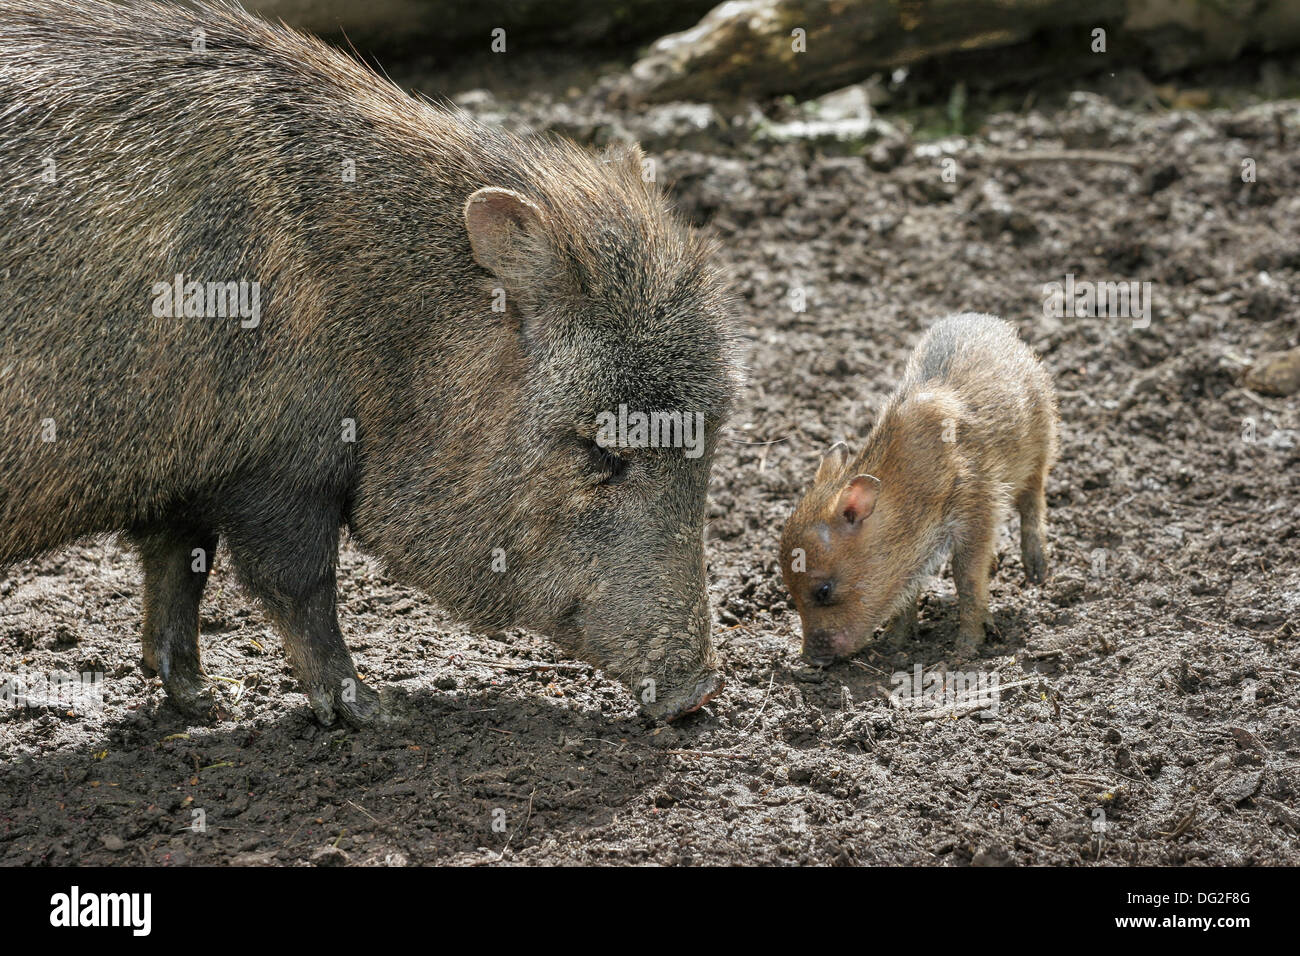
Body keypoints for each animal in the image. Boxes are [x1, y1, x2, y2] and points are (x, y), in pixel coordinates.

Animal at [0, 0, 738, 725]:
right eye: (603, 452)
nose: (703, 691)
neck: (388, 324)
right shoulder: (276, 469)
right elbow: (296, 587)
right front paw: (377, 713)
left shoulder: (190, 473)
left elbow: (180, 570)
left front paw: (205, 704)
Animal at [780, 313, 1058, 662]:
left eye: (823, 590)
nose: (811, 660)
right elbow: (908, 591)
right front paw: (894, 644)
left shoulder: (978, 511)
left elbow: (966, 579)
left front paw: (965, 648)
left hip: (1042, 442)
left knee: (1034, 497)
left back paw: (1037, 571)